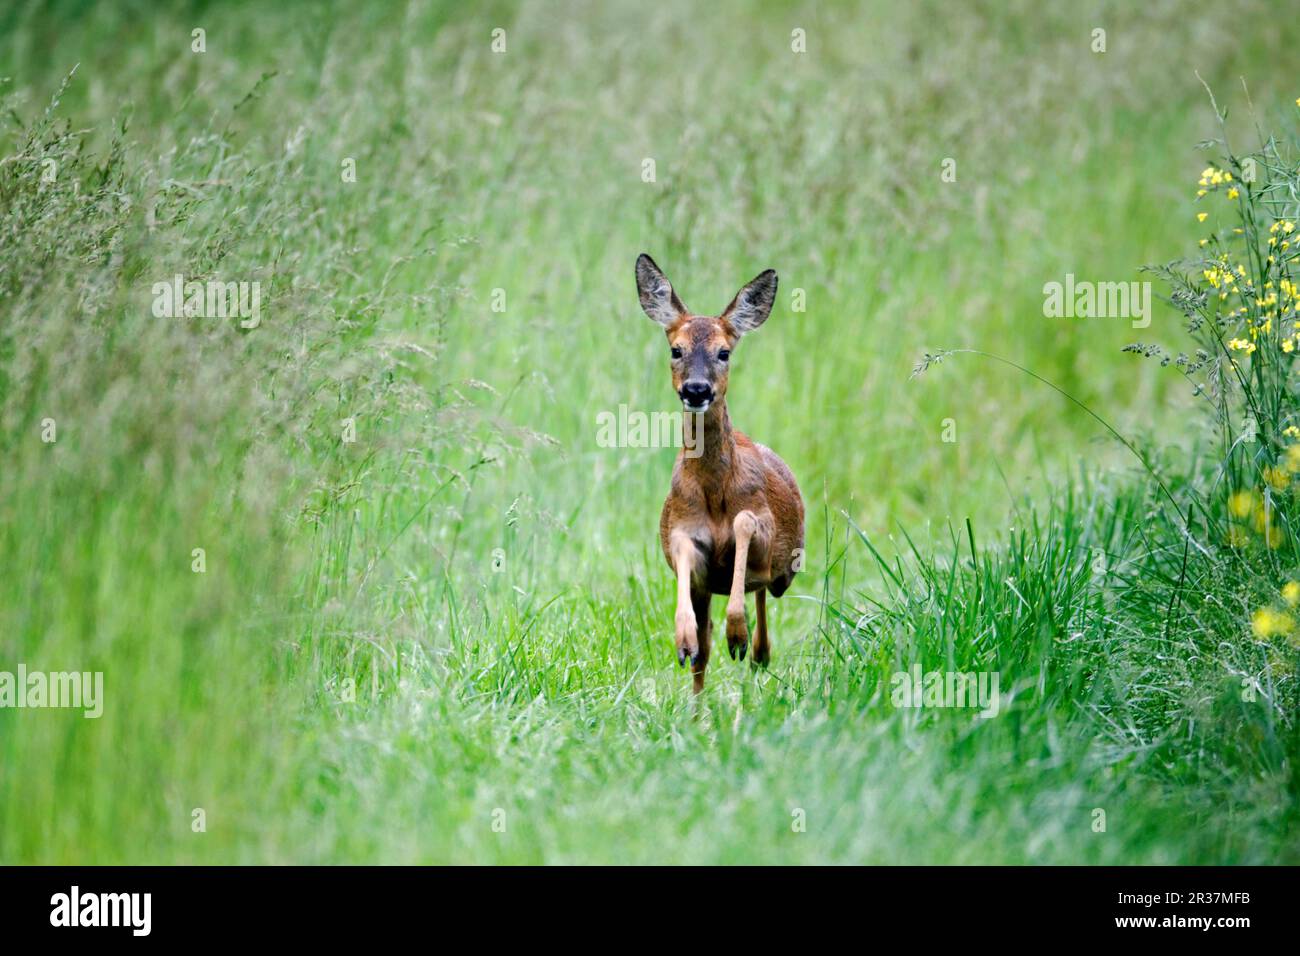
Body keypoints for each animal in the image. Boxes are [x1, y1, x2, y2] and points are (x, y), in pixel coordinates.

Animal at [634, 254, 805, 693]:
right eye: (675, 349)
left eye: (724, 352)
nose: (696, 390)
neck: (714, 493)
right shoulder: (683, 538)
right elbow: (683, 556)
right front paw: (683, 640)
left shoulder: (761, 528)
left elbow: (744, 523)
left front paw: (737, 635)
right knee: (707, 650)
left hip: (785, 572)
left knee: (763, 607)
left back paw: (752, 648)